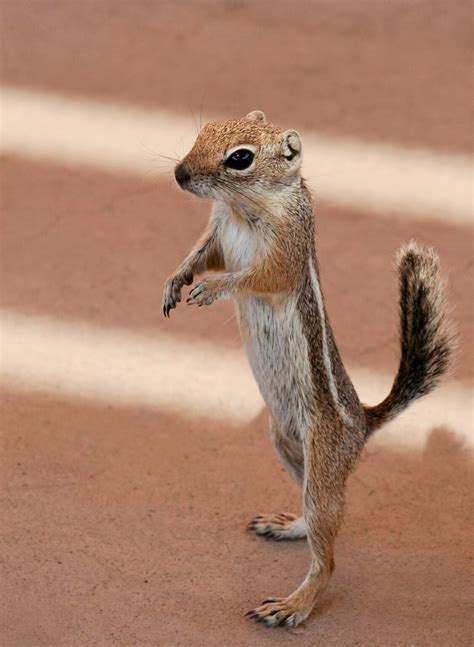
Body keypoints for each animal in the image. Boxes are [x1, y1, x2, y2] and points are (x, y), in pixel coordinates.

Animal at [162, 110, 453, 628]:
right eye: (203, 131)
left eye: (240, 158)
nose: (179, 173)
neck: (241, 208)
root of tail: (364, 422)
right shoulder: (215, 233)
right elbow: (200, 255)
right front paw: (176, 280)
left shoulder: (286, 251)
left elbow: (256, 276)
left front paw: (214, 289)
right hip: (285, 443)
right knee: (315, 518)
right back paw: (290, 525)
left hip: (323, 455)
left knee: (328, 554)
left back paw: (293, 605)